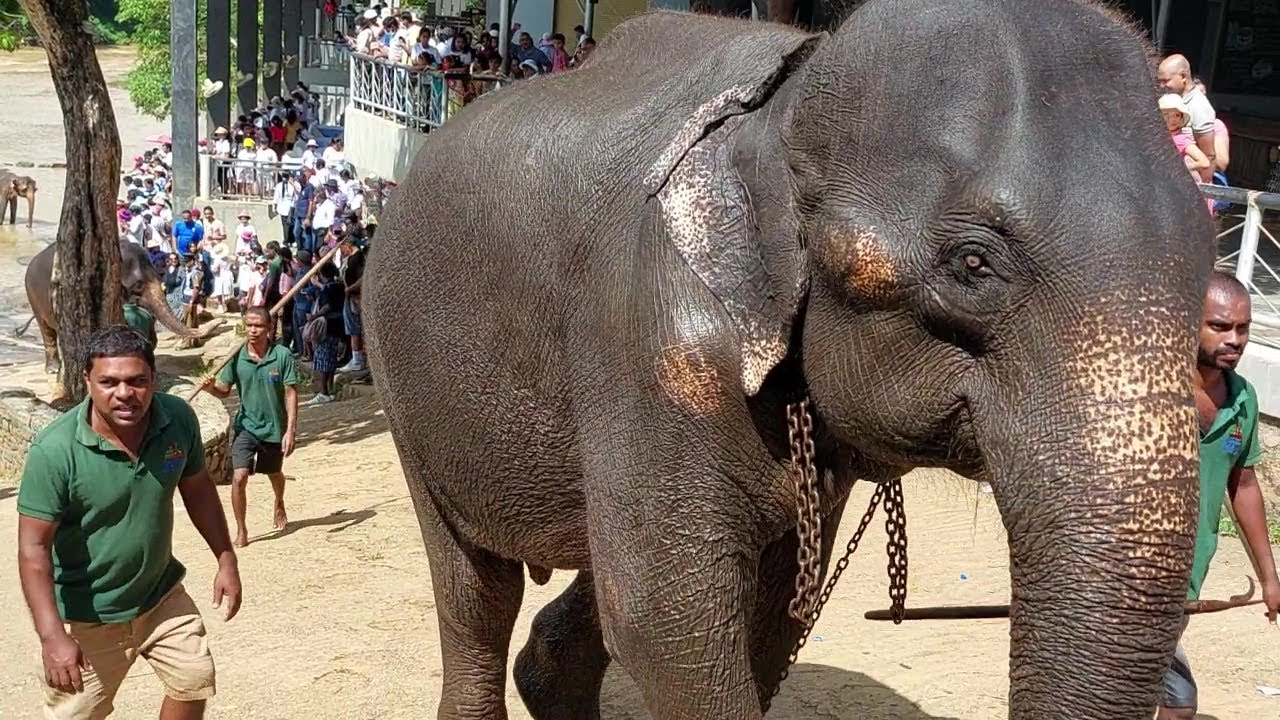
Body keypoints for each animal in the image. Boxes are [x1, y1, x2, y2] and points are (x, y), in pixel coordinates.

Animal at [364, 2, 1212, 719]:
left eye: (1206, 268)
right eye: (974, 265)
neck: (788, 99)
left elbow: (766, 612)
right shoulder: (651, 336)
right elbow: (664, 617)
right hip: (394, 367)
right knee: (478, 589)